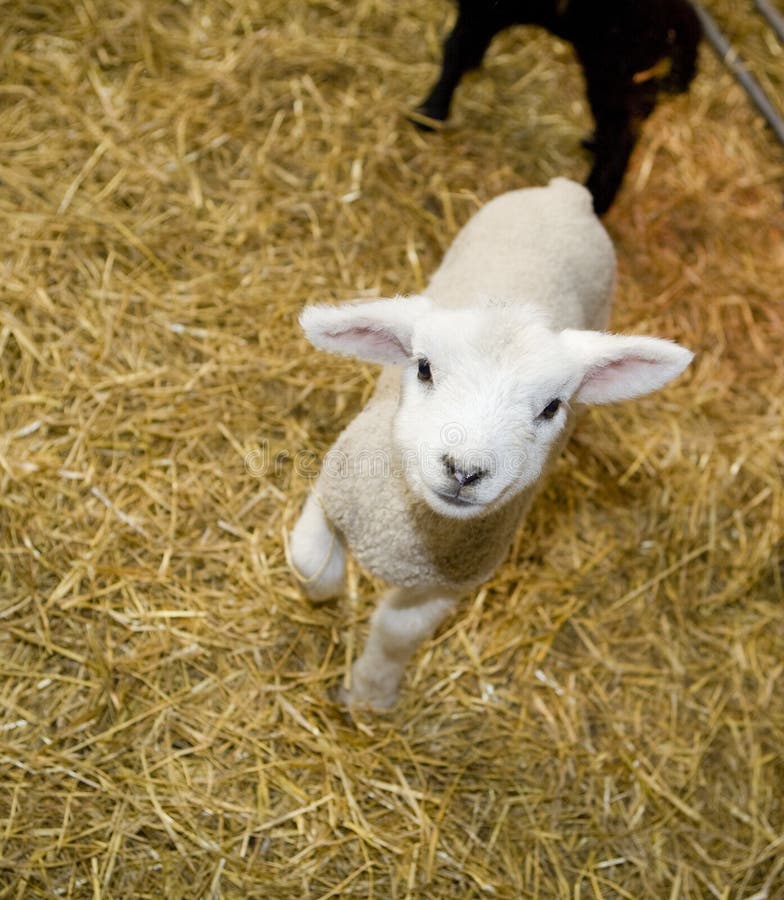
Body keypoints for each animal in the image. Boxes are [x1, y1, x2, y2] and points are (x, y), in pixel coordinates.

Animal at [289, 178, 693, 709]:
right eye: (423, 368)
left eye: (552, 407)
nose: (464, 470)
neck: (402, 538)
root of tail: (567, 193)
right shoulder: (335, 484)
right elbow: (311, 563)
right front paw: (327, 594)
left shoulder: (450, 582)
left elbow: (397, 632)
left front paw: (371, 693)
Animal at [414, 0, 702, 214]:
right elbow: (466, 48)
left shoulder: (484, 9)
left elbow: (457, 48)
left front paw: (429, 113)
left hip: (616, 66)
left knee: (621, 137)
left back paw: (594, 199)